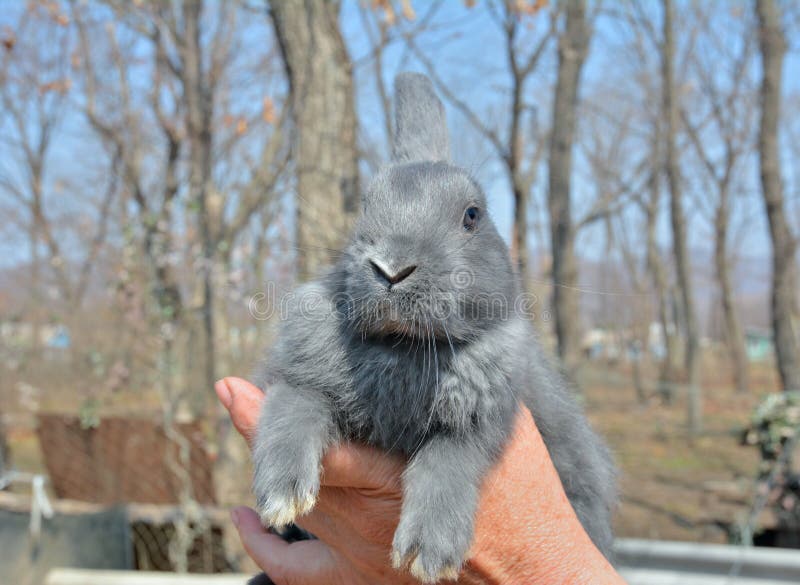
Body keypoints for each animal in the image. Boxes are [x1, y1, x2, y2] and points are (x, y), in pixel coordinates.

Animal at [250, 72, 616, 584]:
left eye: (472, 216)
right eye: (365, 207)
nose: (391, 268)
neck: (404, 346)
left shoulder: (481, 420)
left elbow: (449, 460)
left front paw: (428, 549)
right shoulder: (297, 377)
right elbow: (294, 408)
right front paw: (282, 494)